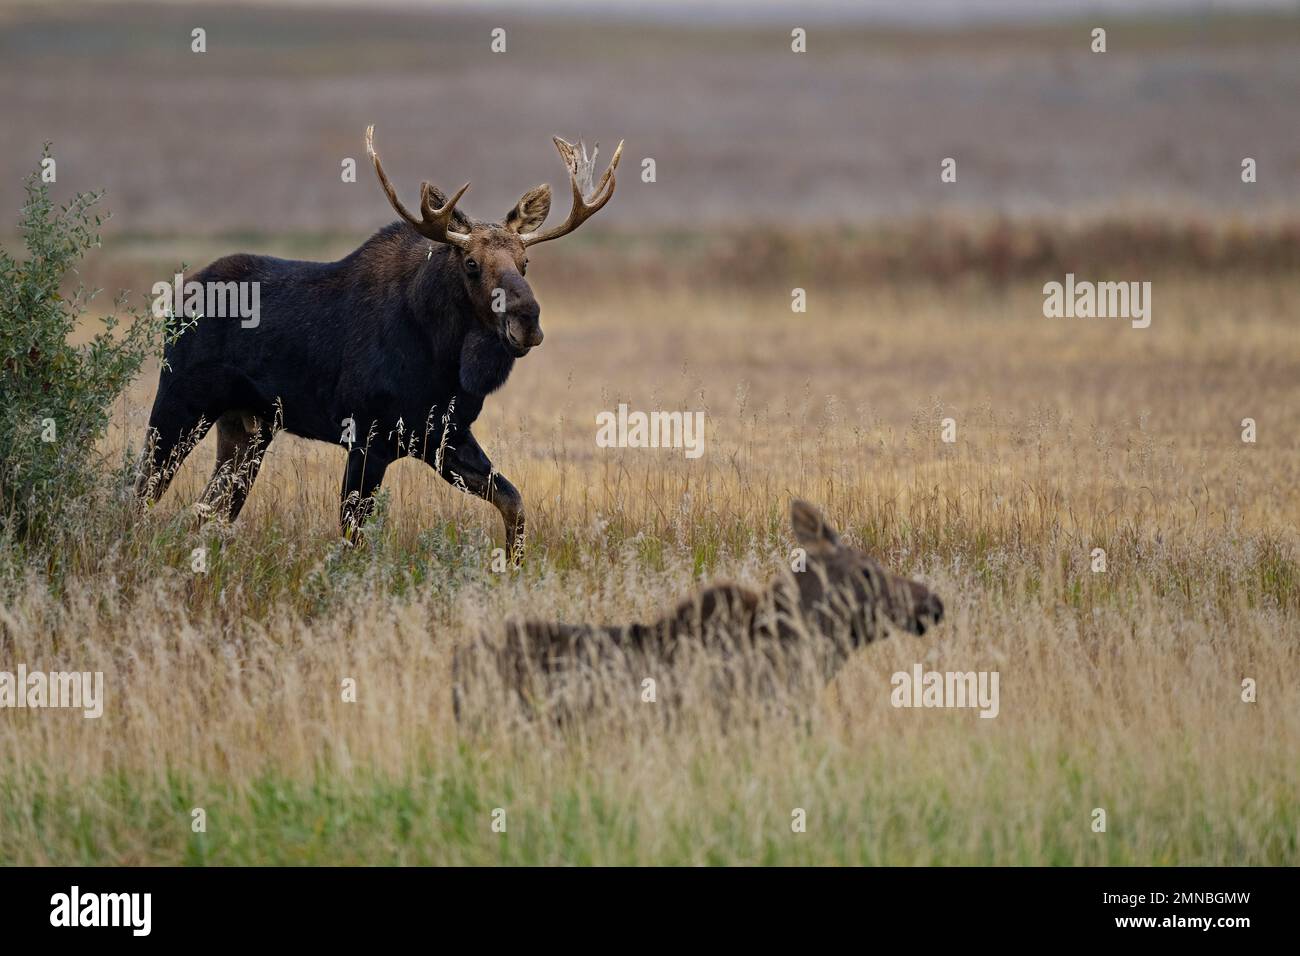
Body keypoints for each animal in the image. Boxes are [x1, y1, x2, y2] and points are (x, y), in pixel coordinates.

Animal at [135, 127, 623, 562]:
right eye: (470, 263)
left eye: (525, 261)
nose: (527, 320)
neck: (444, 359)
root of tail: (177, 299)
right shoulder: (367, 438)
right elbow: (352, 535)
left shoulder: (443, 437)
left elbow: (514, 504)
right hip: (180, 404)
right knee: (141, 493)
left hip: (248, 426)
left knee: (207, 511)